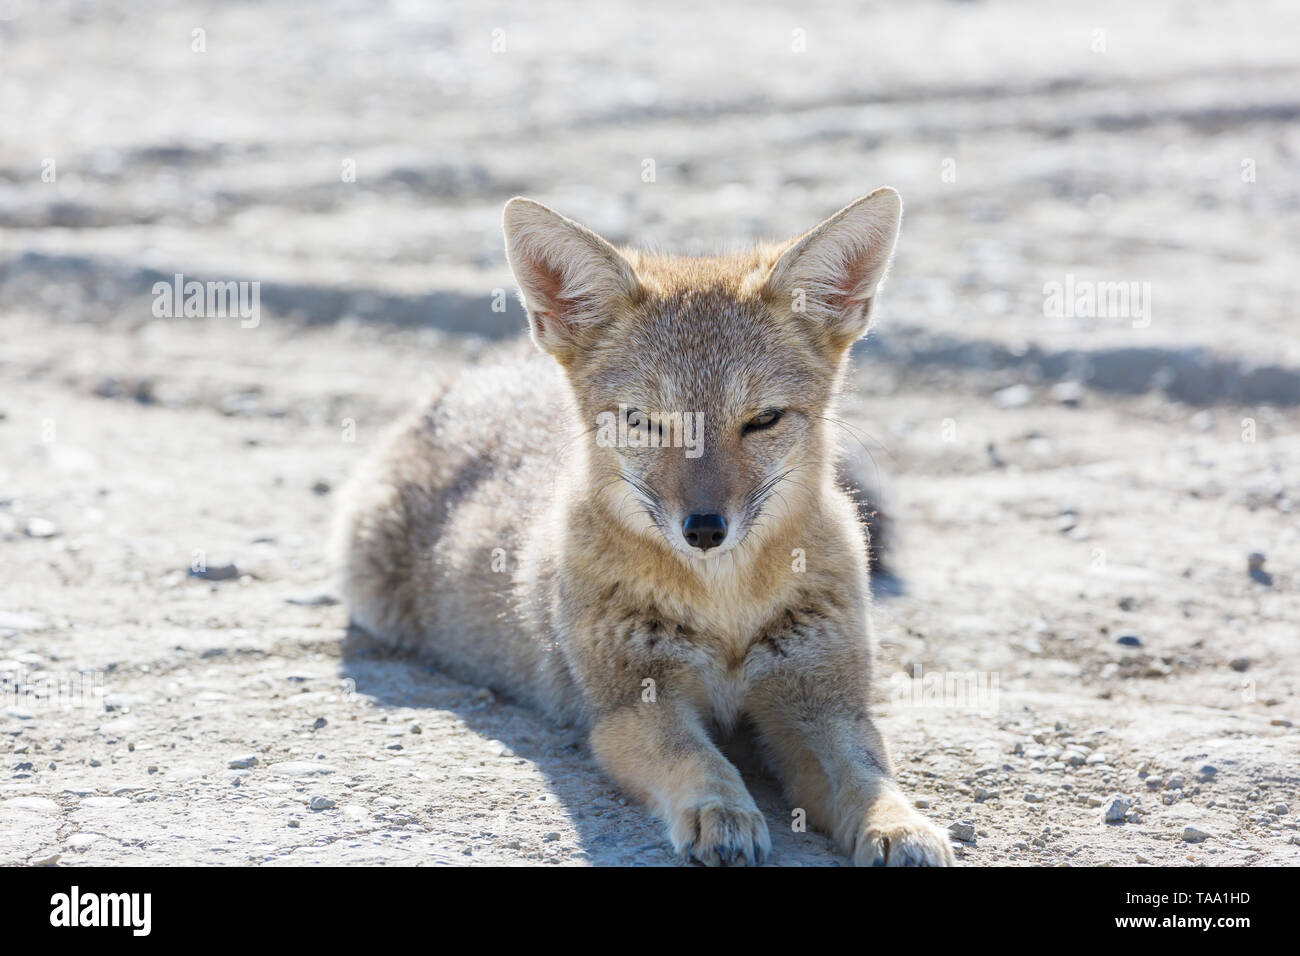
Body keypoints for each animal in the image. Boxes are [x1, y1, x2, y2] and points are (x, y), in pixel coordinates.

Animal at [333, 188, 955, 866]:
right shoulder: (631, 709)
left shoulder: (824, 705)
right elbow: (697, 759)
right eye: (645, 421)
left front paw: (900, 826)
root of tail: (478, 373)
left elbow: (866, 774)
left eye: (762, 420)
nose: (704, 529)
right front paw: (721, 811)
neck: (724, 610)